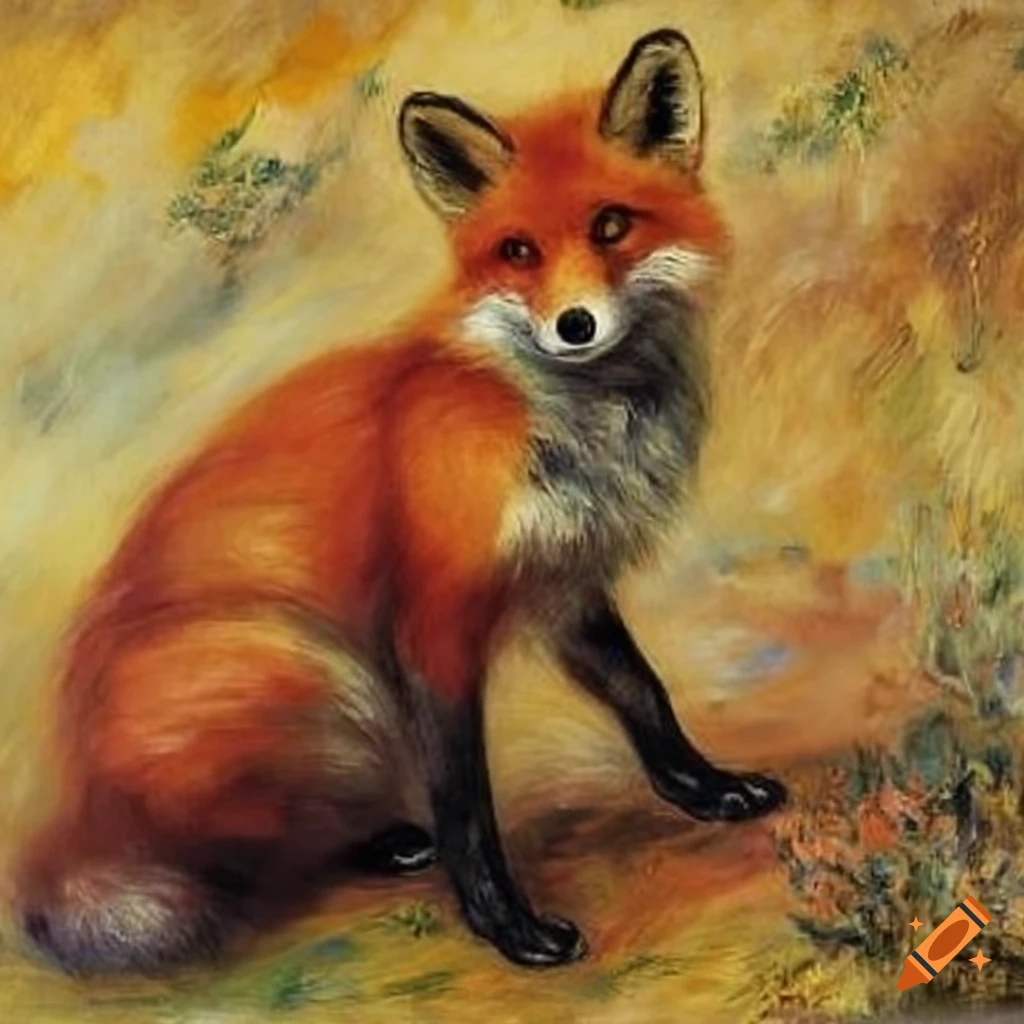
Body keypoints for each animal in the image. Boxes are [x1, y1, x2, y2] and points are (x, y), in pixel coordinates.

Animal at [16, 28, 786, 973]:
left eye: (611, 225)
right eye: (517, 251)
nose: (573, 326)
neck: (568, 421)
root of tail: (77, 815)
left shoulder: (563, 584)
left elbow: (646, 699)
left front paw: (707, 789)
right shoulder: (436, 620)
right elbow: (466, 801)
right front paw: (510, 929)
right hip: (318, 677)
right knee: (236, 856)